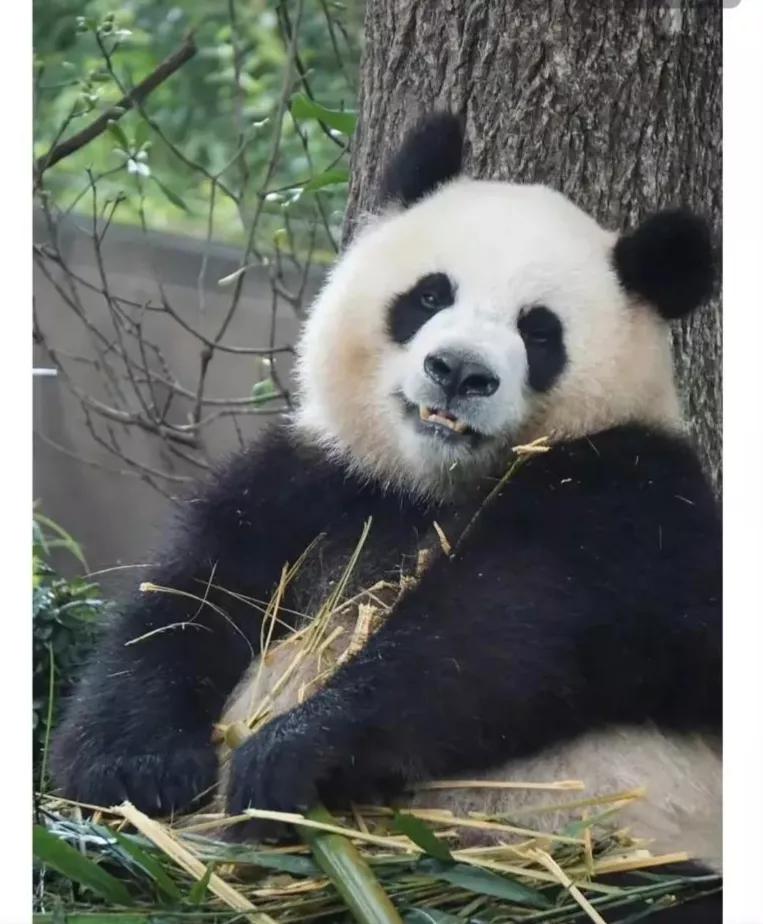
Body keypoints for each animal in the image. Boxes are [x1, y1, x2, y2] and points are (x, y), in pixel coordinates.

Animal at [51, 113, 721, 912]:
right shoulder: (316, 480)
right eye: (429, 296)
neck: (432, 486)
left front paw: (289, 755)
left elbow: (504, 629)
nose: (458, 371)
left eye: (539, 330)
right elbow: (187, 599)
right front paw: (139, 769)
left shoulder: (638, 500)